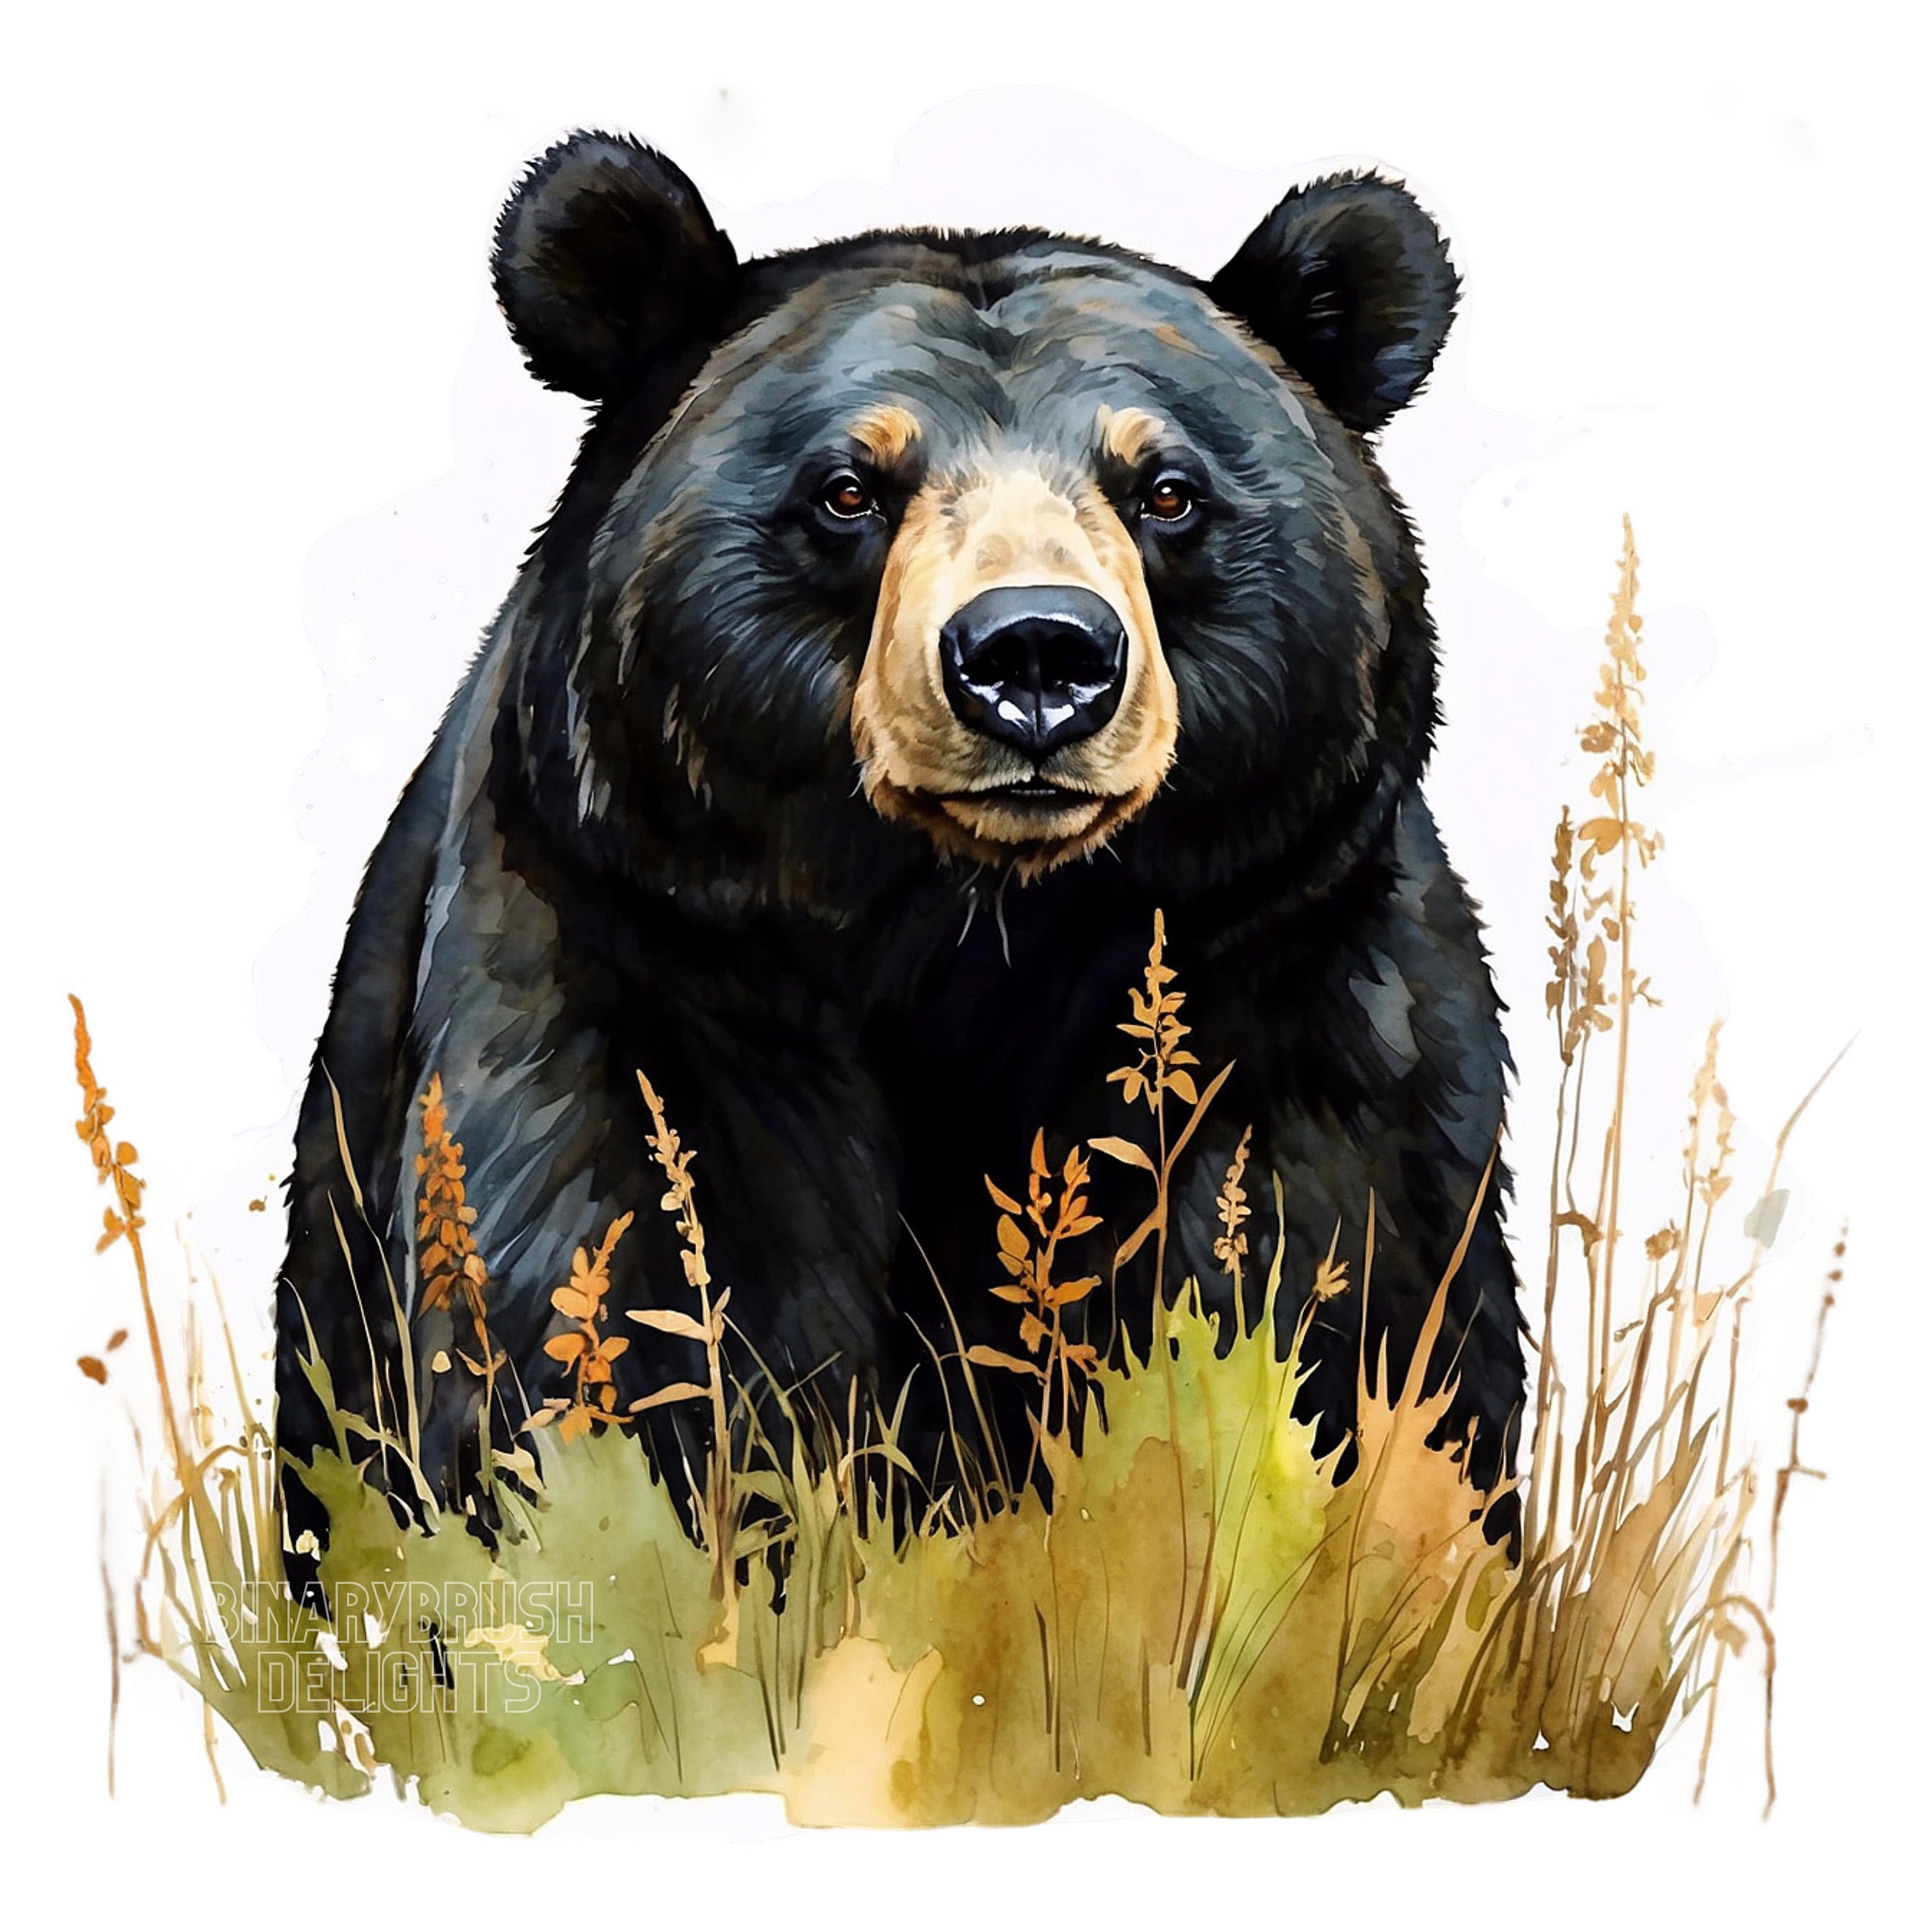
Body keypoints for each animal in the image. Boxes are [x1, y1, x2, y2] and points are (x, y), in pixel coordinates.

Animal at [276, 131, 1524, 1582]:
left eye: (1165, 489)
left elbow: (1326, 1312)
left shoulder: (1302, 988)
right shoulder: (624, 967)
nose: (1036, 653)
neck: (967, 938)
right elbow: (597, 1319)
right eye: (849, 487)